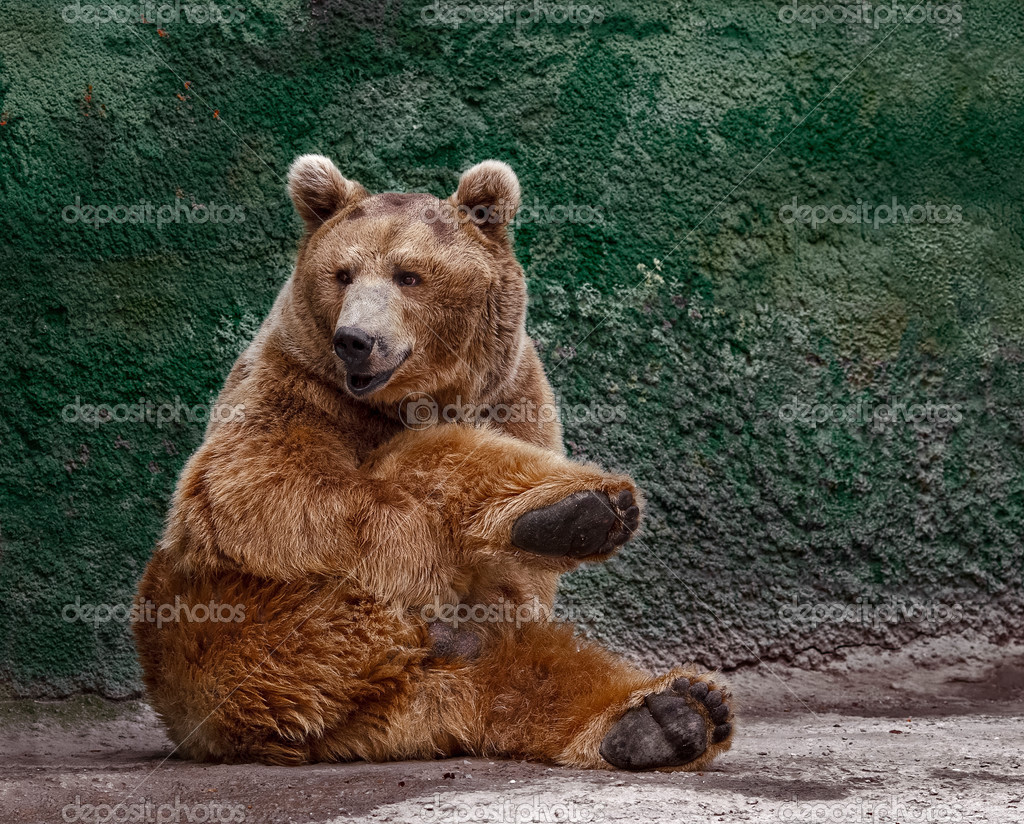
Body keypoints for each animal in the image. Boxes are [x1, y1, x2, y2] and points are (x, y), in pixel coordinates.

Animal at [133, 156, 734, 771]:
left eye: (409, 275)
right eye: (342, 274)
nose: (354, 340)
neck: (412, 399)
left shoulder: (515, 399)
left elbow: (517, 586)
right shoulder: (292, 387)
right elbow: (268, 491)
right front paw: (554, 512)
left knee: (522, 671)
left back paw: (669, 714)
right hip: (228, 631)